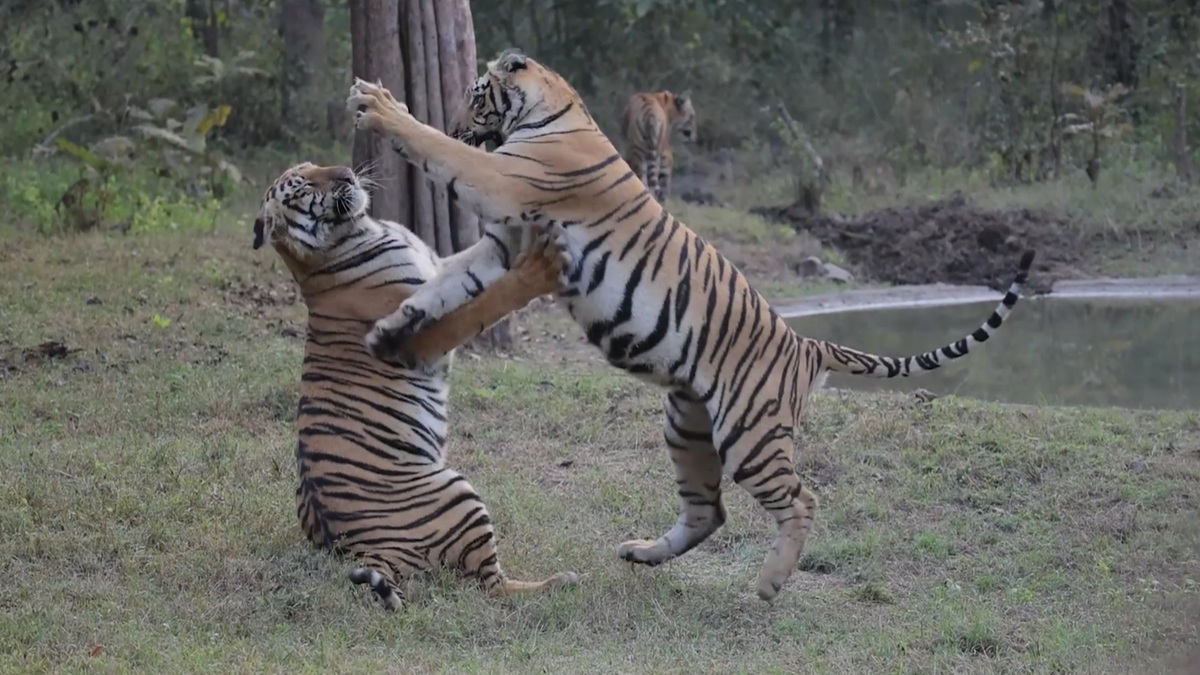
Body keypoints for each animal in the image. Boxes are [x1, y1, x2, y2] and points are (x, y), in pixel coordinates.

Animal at [251, 161, 578, 610]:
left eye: (311, 166)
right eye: (302, 187)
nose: (345, 174)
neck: (361, 230)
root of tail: (365, 550)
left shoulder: (440, 263)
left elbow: (482, 259)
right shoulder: (416, 337)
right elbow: (486, 305)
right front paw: (539, 266)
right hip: (457, 492)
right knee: (491, 584)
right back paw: (560, 581)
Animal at [345, 49, 1036, 602]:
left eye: (474, 93)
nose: (461, 121)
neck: (554, 108)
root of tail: (806, 344)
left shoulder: (502, 181)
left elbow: (439, 152)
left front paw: (382, 107)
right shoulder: (502, 245)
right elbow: (446, 281)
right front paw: (391, 326)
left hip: (749, 432)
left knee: (801, 499)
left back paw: (767, 586)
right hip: (688, 422)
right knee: (708, 512)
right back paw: (641, 553)